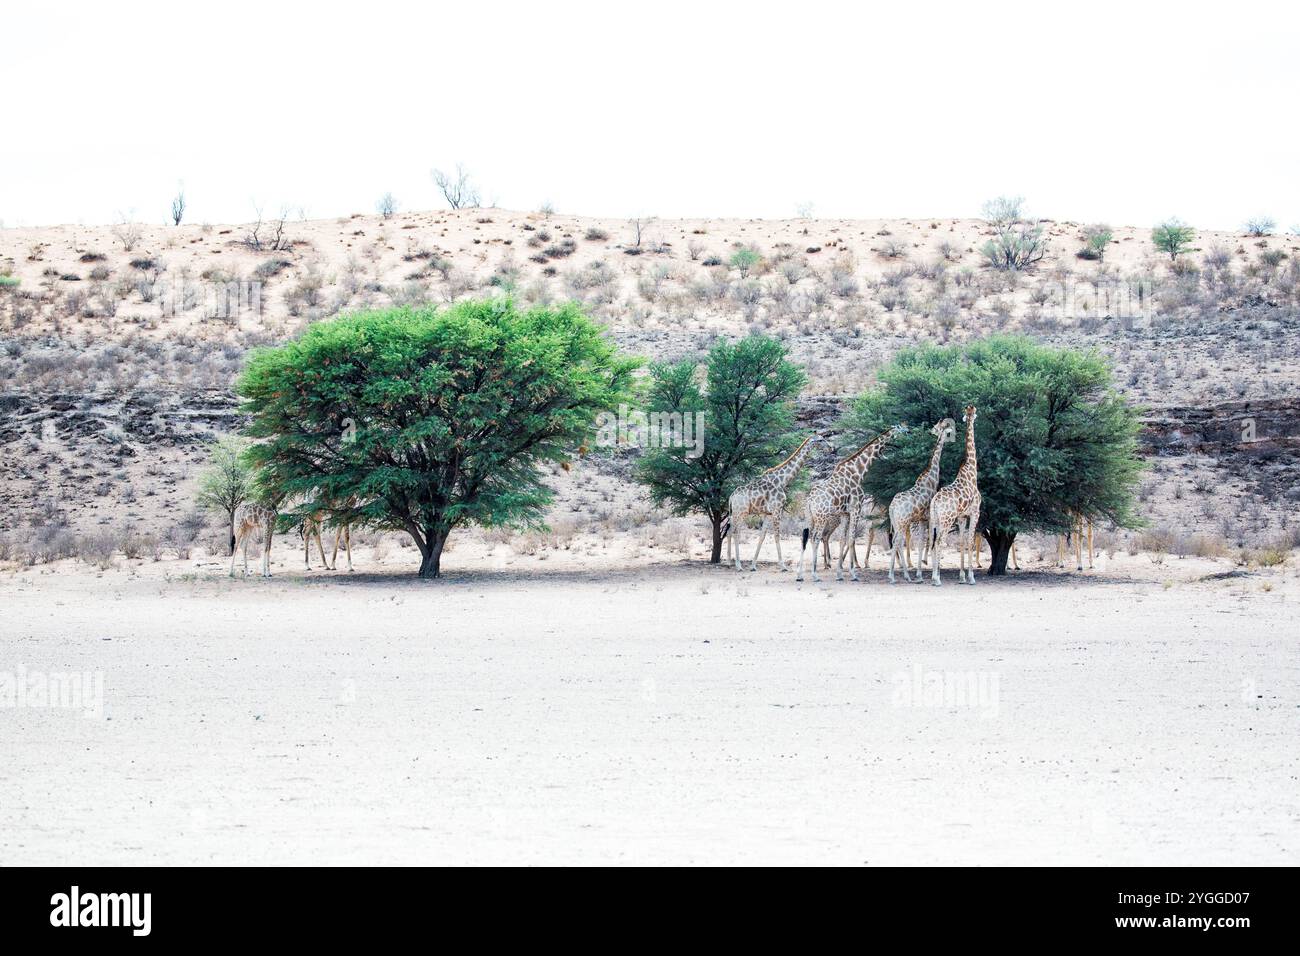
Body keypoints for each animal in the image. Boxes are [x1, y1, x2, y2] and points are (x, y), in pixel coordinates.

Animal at [726, 433, 832, 571]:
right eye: (820, 440)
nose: (830, 448)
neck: (782, 481)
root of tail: (731, 497)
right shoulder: (777, 510)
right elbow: (777, 535)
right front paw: (783, 565)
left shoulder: (768, 513)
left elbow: (762, 536)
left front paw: (753, 565)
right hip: (741, 512)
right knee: (735, 532)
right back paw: (738, 565)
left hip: (734, 512)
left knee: (729, 530)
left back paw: (729, 561)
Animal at [795, 424, 906, 582]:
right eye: (902, 431)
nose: (908, 436)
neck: (858, 472)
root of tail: (810, 500)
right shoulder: (856, 509)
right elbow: (852, 539)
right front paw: (853, 573)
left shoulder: (845, 513)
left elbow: (843, 540)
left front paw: (840, 574)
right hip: (822, 517)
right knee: (816, 538)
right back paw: (815, 575)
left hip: (810, 518)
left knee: (805, 538)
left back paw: (800, 575)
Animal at [887, 417, 956, 584]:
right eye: (945, 430)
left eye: (935, 426)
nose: (931, 431)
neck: (931, 477)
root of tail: (892, 507)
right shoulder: (929, 518)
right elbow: (929, 540)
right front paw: (926, 569)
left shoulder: (920, 519)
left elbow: (920, 543)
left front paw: (919, 573)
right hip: (902, 522)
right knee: (897, 542)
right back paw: (894, 576)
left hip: (896, 523)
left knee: (897, 542)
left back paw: (904, 575)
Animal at [928, 405, 980, 586]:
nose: (931, 431)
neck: (972, 471)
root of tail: (935, 501)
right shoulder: (975, 512)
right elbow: (970, 541)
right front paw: (971, 578)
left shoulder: (962, 516)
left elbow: (962, 542)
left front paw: (962, 577)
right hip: (946, 520)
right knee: (939, 542)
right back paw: (936, 579)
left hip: (935, 519)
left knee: (933, 543)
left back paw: (934, 577)